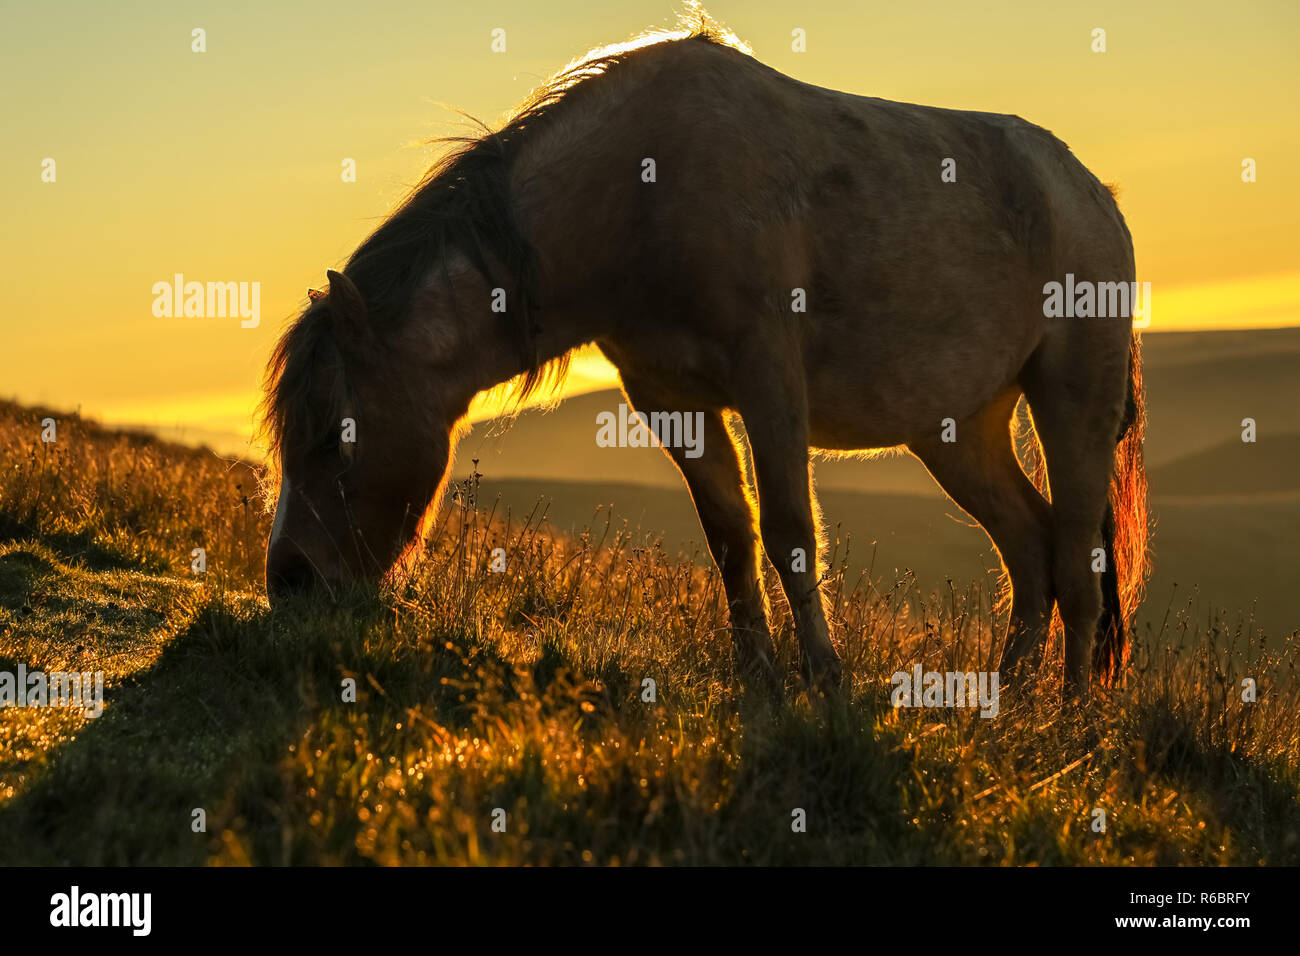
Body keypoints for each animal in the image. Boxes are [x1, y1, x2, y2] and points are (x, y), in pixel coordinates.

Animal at [262, 20, 1150, 699]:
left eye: (337, 438)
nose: (290, 583)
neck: (641, 194)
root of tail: (1093, 196)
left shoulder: (768, 379)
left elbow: (790, 528)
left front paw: (826, 679)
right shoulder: (670, 398)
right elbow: (729, 532)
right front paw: (760, 677)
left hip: (1072, 399)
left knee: (1077, 558)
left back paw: (1070, 719)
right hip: (959, 427)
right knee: (1030, 550)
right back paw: (1009, 703)